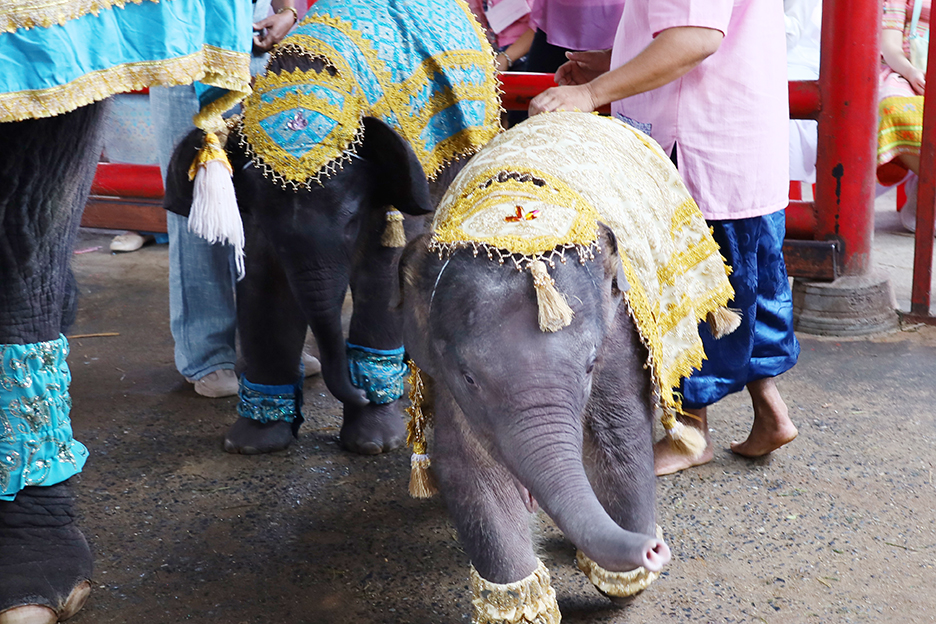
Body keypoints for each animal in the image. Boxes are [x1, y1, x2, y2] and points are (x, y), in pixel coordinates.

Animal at [396, 111, 737, 621]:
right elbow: (472, 468)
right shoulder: (441, 369)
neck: (514, 220)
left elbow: (618, 434)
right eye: (468, 377)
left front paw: (621, 584)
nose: (656, 550)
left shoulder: (618, 327)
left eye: (591, 365)